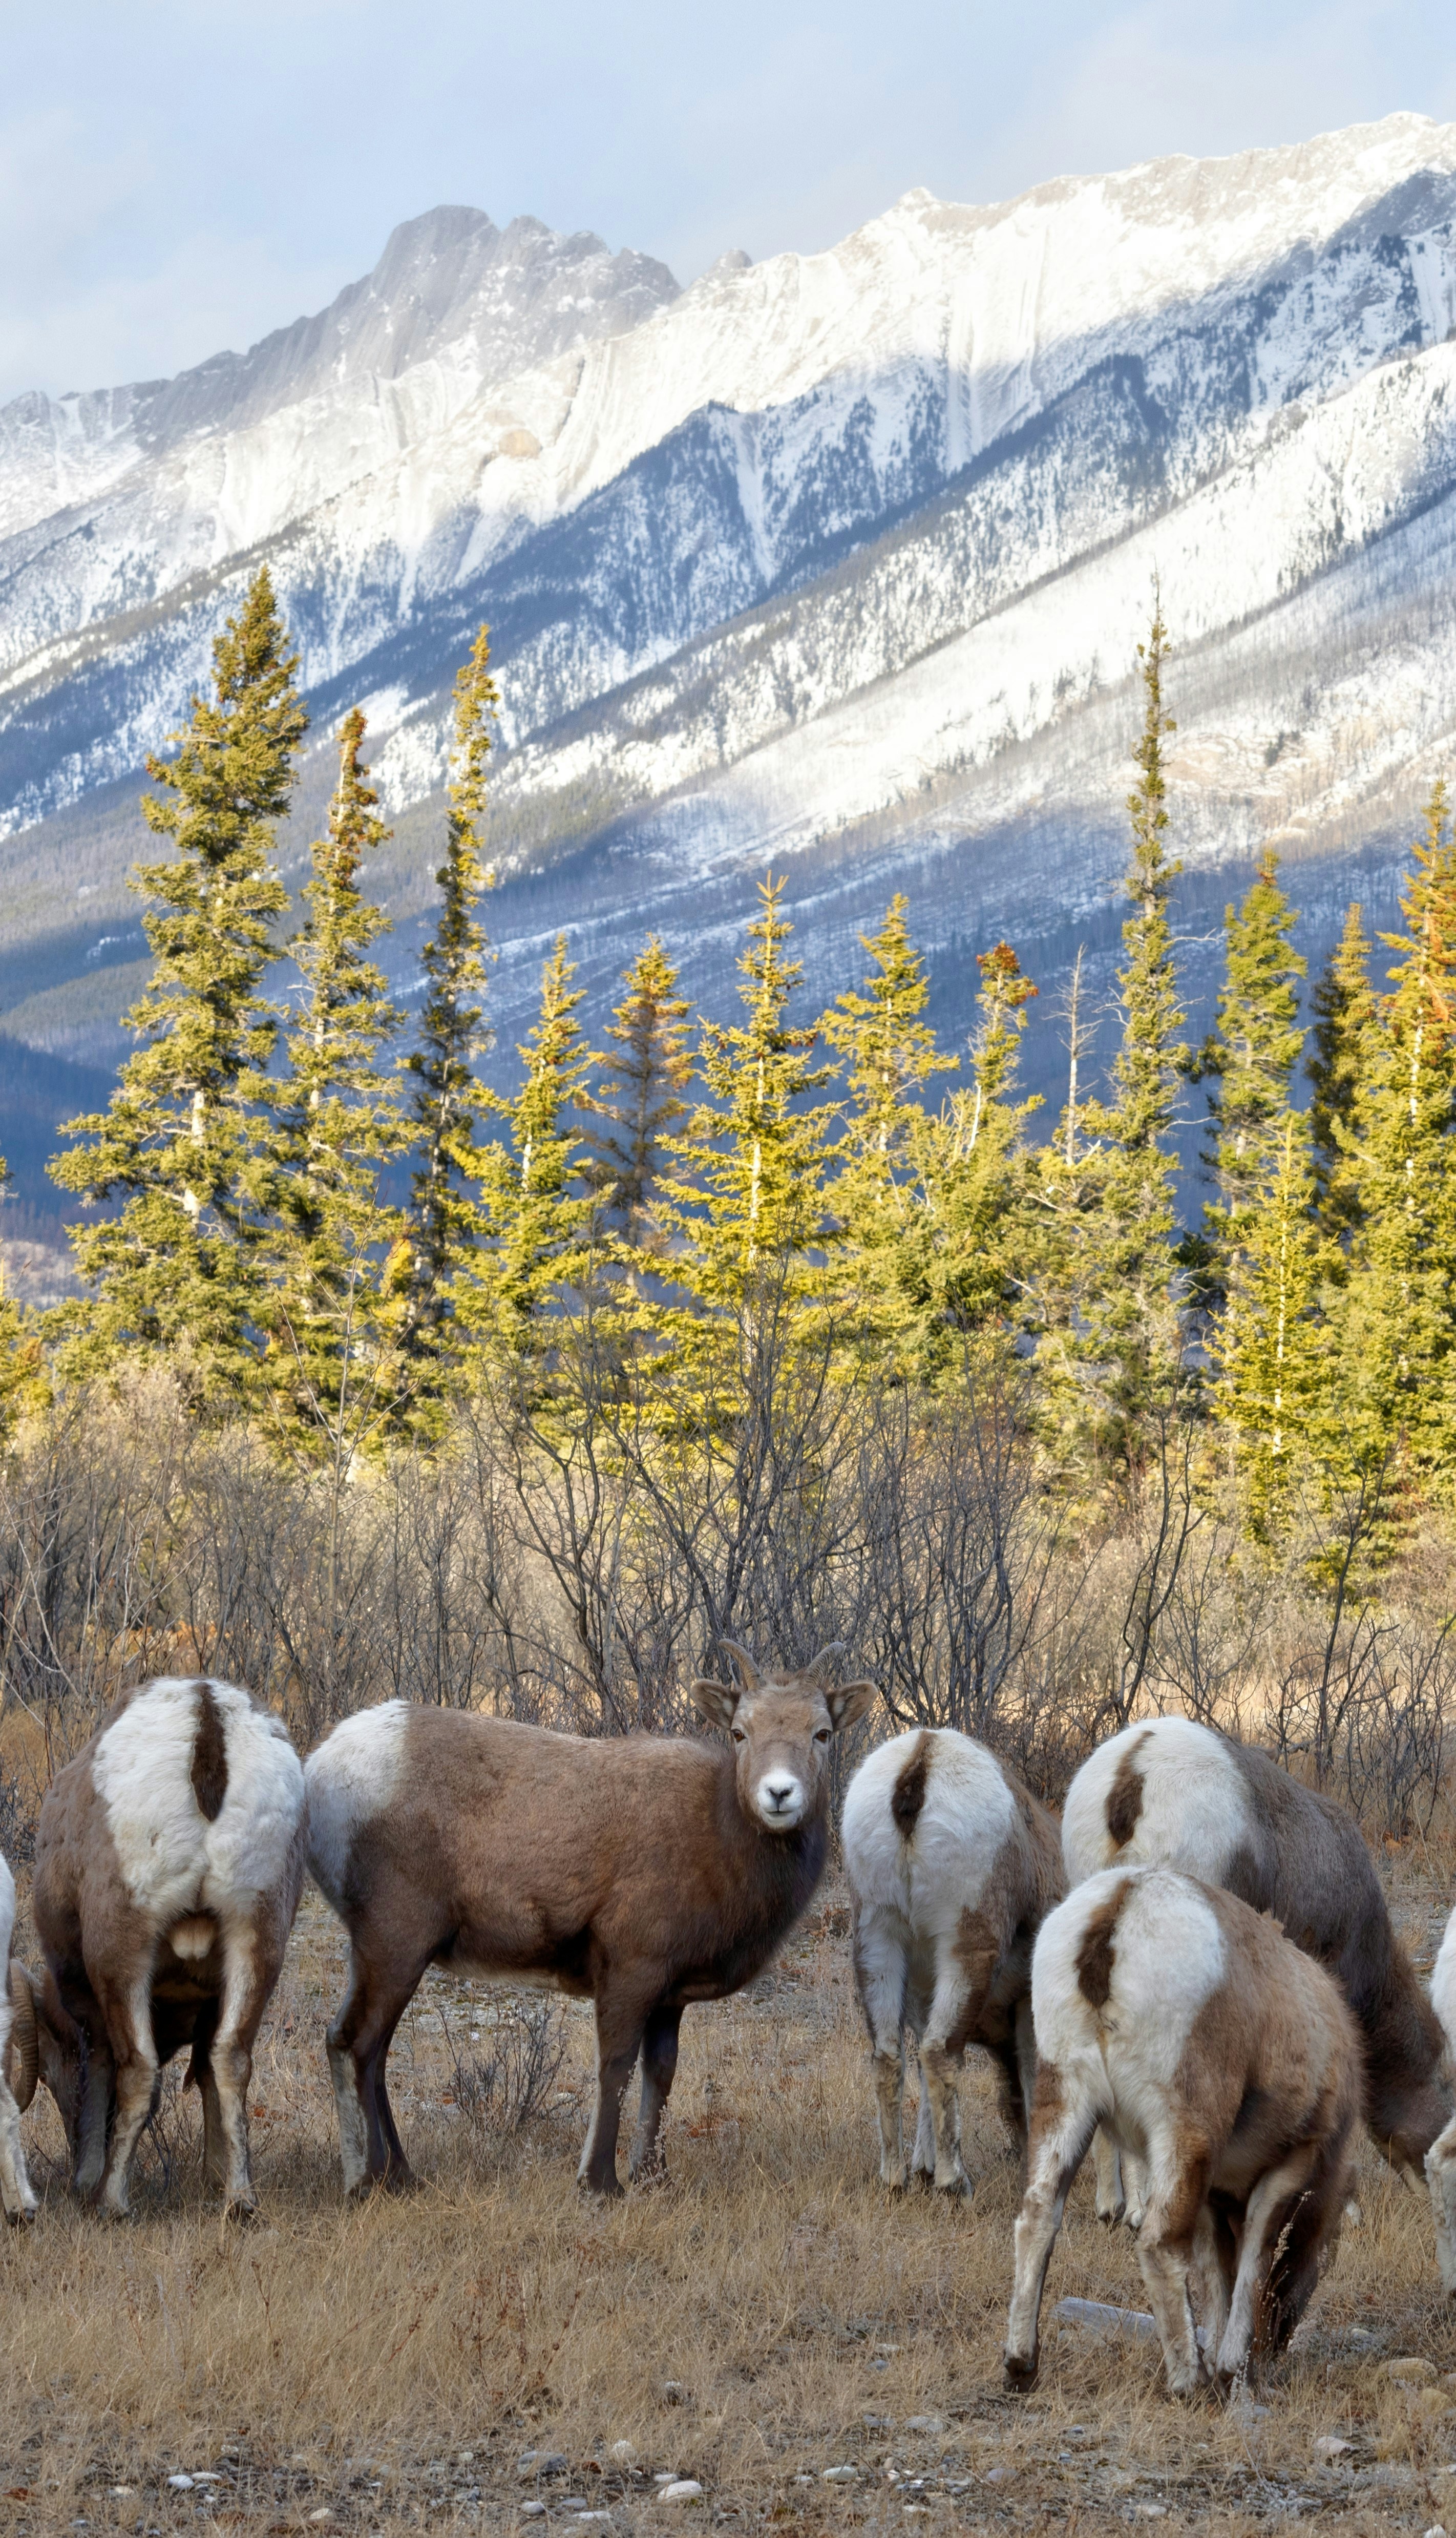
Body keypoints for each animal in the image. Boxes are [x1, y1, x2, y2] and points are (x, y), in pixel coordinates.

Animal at [21, 1676, 306, 2220]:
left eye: (51, 2072)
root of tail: (205, 1715)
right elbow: (210, 2073)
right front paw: (214, 2178)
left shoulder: (88, 2003)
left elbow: (104, 2070)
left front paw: (88, 2181)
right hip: (257, 1939)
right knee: (232, 2060)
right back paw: (240, 2200)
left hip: (123, 1948)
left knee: (139, 2069)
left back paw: (112, 2202)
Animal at [305, 1644, 876, 2198]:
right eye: (740, 1731)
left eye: (821, 1732)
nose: (779, 1794)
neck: (717, 1837)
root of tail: (320, 1767)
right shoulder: (630, 1970)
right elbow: (615, 2069)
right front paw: (600, 2183)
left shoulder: (669, 1995)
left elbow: (660, 2074)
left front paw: (654, 2177)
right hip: (395, 1941)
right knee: (353, 2042)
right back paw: (365, 2181)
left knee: (373, 2051)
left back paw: (403, 2176)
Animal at [841, 1727, 1063, 2198]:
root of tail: (922, 1758)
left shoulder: (919, 1999)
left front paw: (922, 2167)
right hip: (967, 1950)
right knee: (939, 2053)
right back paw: (954, 2183)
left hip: (876, 1939)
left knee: (889, 2057)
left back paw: (896, 2178)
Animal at [1003, 1864, 1360, 2398]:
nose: (1277, 2345)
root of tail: (1119, 1905)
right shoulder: (1289, 2164)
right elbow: (1252, 2259)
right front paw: (1231, 2369)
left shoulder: (1215, 2192)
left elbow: (1217, 2272)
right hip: (1183, 2130)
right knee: (1157, 2242)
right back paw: (1189, 2382)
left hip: (1065, 2101)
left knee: (1037, 2216)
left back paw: (1021, 2364)